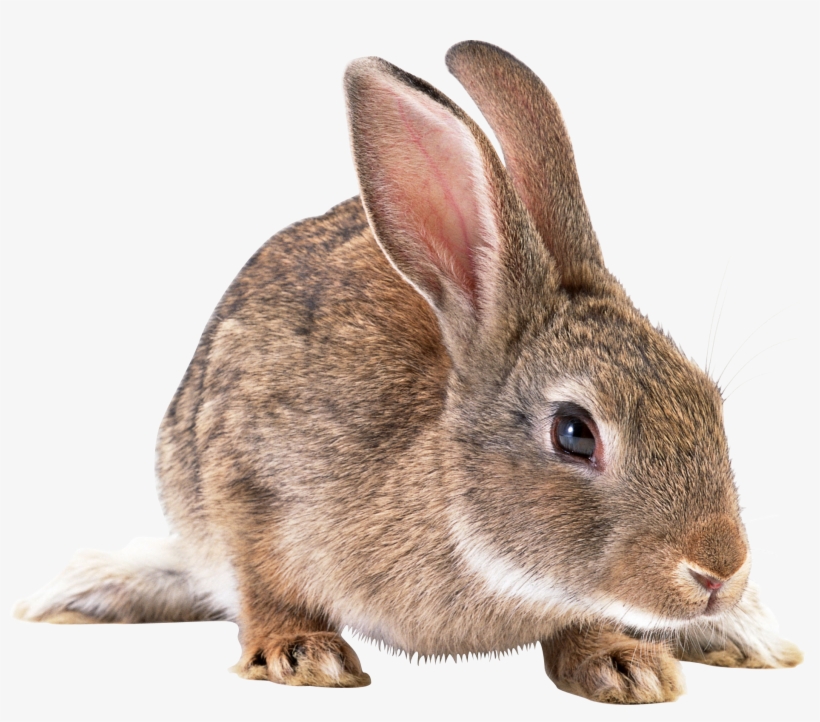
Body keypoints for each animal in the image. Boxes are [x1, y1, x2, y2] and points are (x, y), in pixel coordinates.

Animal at [13, 40, 802, 704]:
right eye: (575, 433)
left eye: (710, 400)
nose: (720, 570)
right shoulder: (246, 482)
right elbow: (265, 585)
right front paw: (302, 654)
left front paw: (625, 665)